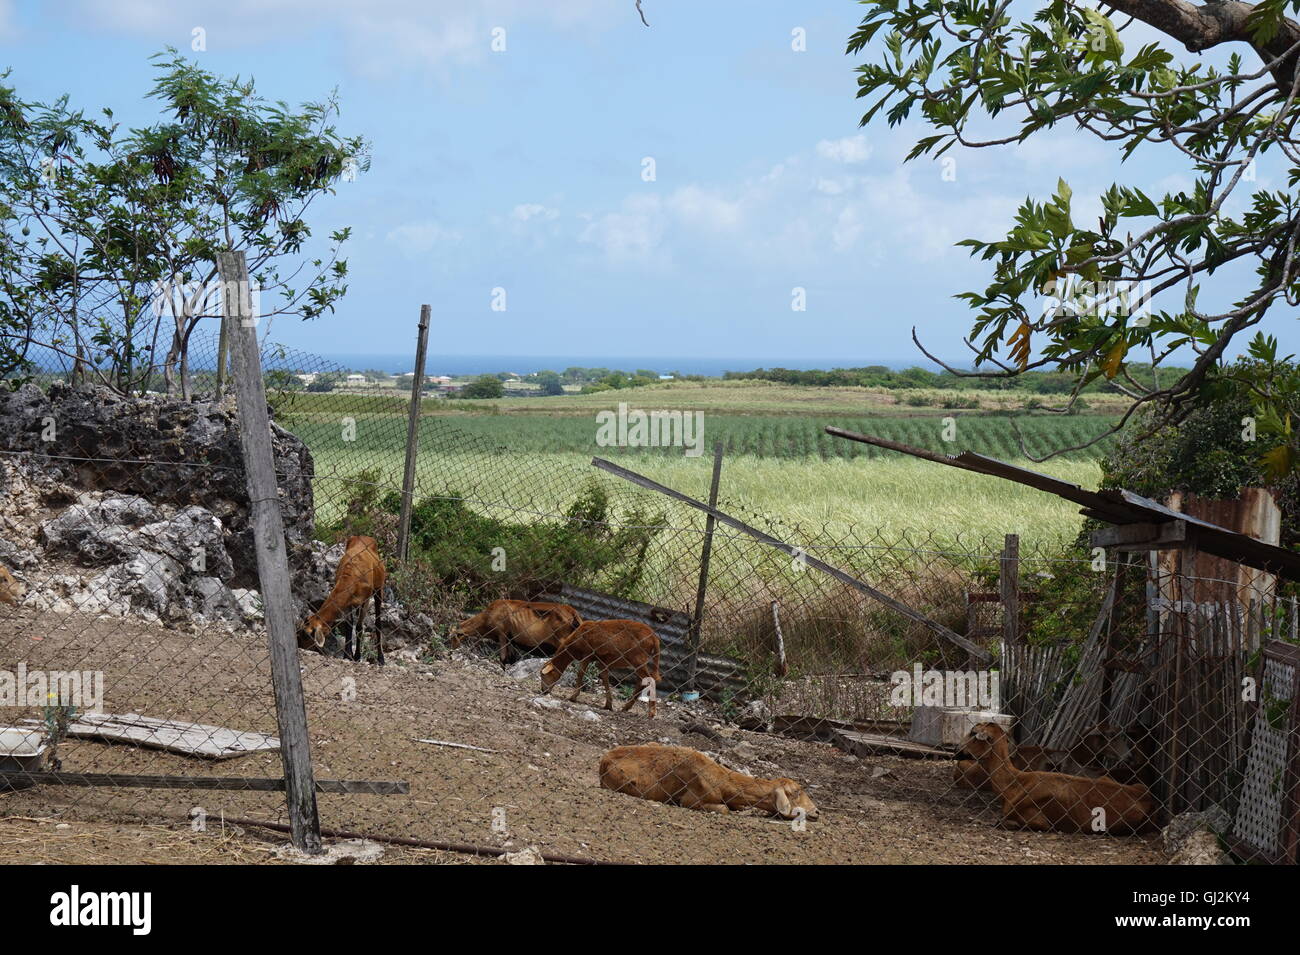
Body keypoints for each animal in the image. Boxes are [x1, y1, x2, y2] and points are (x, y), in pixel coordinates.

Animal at [297, 536, 387, 666]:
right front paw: (347, 655)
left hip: (379, 589)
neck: (352, 578)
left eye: (306, 634)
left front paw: (357, 656)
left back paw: (381, 658)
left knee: (378, 622)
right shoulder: (347, 603)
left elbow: (359, 627)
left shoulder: (365, 600)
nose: (299, 645)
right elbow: (349, 625)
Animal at [449, 599, 582, 666]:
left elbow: (503, 658)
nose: (451, 650)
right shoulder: (511, 640)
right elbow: (512, 659)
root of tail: (573, 613)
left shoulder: (502, 634)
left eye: (453, 637)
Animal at [599, 744, 819, 819]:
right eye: (796, 792)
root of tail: (604, 760)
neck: (722, 779)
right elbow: (724, 809)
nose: (817, 812)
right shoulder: (691, 799)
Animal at [962, 722, 1156, 834]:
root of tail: (1147, 797)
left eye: (973, 733)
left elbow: (1001, 822)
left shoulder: (1039, 821)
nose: (958, 749)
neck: (1016, 783)